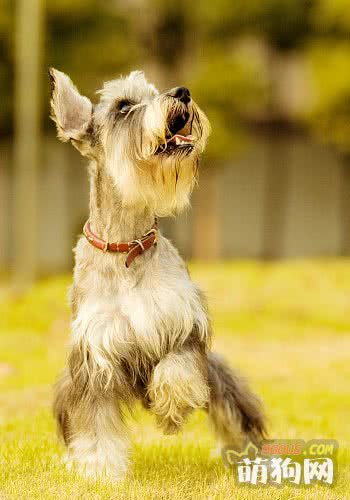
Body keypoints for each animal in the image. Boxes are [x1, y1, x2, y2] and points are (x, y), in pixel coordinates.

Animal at [47, 68, 264, 478]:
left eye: (152, 92)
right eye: (123, 106)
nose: (181, 92)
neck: (126, 248)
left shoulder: (182, 325)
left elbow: (176, 371)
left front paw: (172, 410)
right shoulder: (94, 357)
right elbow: (94, 423)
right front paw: (100, 470)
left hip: (218, 378)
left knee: (233, 414)